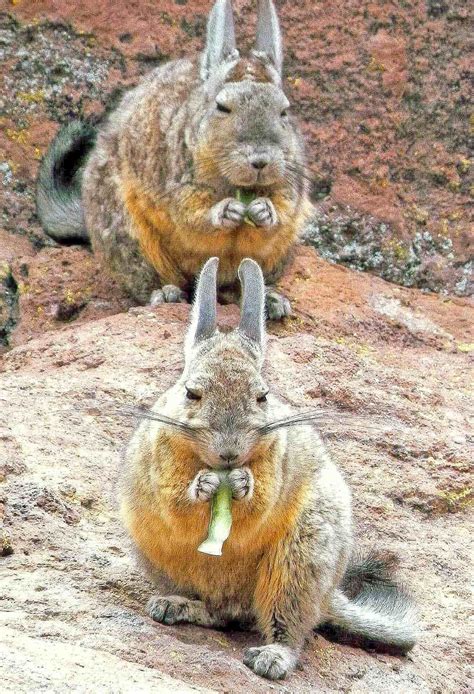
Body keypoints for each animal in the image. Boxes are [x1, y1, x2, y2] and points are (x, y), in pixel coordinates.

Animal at [36, 0, 314, 320]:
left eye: (284, 111)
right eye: (222, 107)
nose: (260, 160)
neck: (233, 185)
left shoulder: (291, 190)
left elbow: (278, 212)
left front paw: (263, 210)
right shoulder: (177, 188)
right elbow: (195, 218)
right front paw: (226, 211)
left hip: (280, 252)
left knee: (239, 287)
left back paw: (272, 301)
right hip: (130, 235)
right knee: (153, 282)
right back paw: (166, 294)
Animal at [119, 256, 418, 681]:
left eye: (262, 396)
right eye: (191, 393)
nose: (229, 453)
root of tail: (331, 594)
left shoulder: (276, 464)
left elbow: (259, 500)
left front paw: (241, 483)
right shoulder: (161, 463)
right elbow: (176, 500)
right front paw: (203, 485)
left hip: (300, 562)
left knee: (286, 626)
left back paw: (271, 657)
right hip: (158, 557)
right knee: (219, 614)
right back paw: (174, 606)